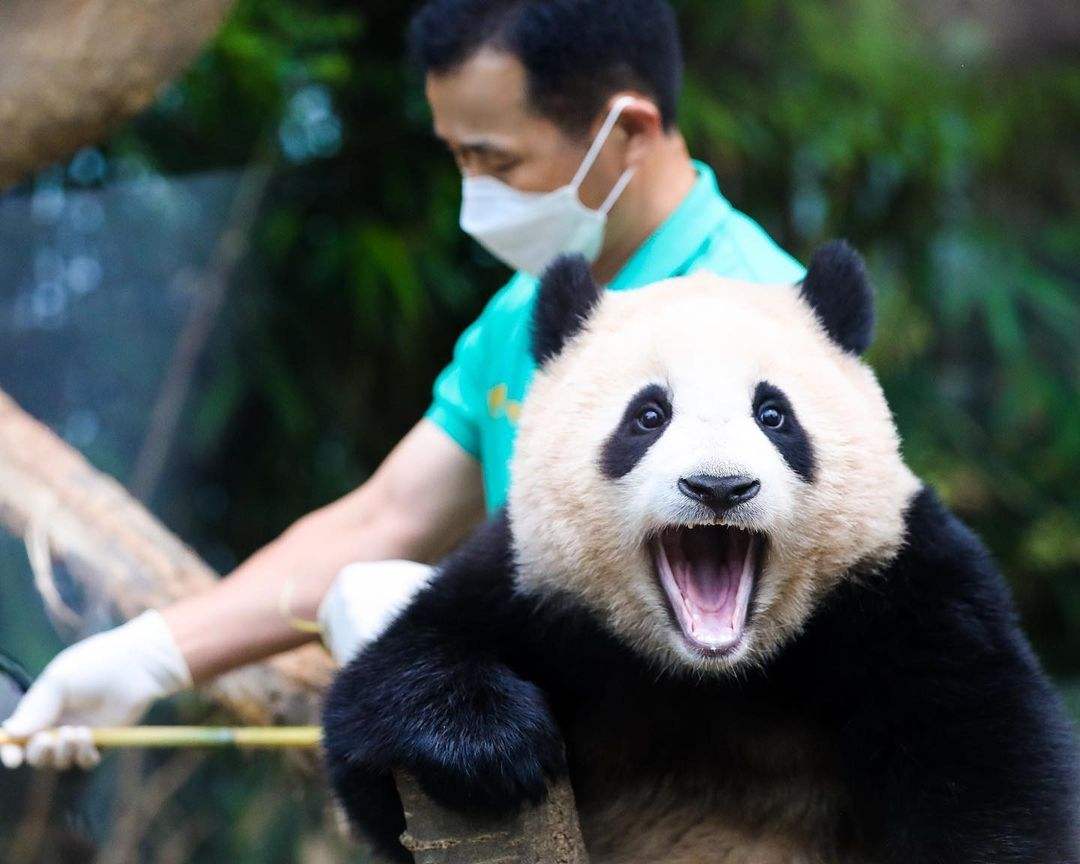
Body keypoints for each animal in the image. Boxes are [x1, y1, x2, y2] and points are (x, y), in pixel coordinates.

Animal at [322, 242, 1080, 864]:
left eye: (773, 415)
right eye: (648, 416)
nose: (719, 486)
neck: (709, 675)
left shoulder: (903, 583)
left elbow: (988, 768)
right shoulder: (529, 582)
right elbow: (382, 701)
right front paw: (490, 744)